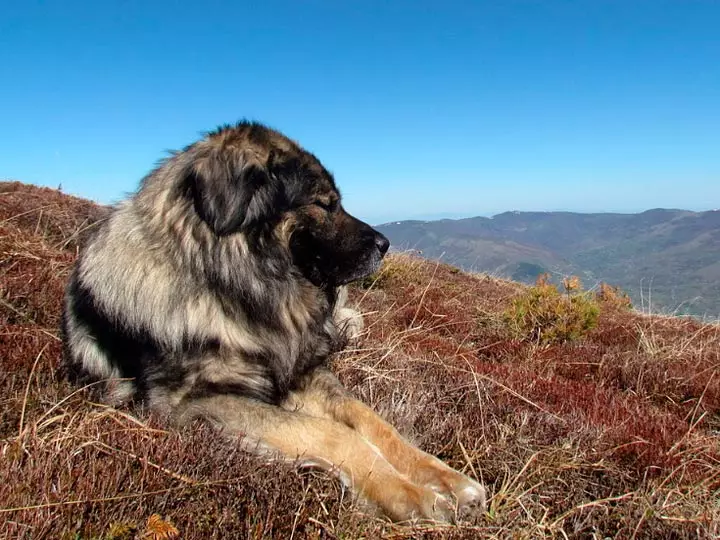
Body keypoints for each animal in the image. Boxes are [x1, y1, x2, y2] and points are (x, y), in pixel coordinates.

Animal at [60, 121, 484, 520]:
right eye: (324, 203)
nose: (385, 245)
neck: (236, 290)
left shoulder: (298, 372)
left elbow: (371, 420)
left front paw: (446, 478)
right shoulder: (193, 403)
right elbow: (333, 433)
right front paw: (408, 494)